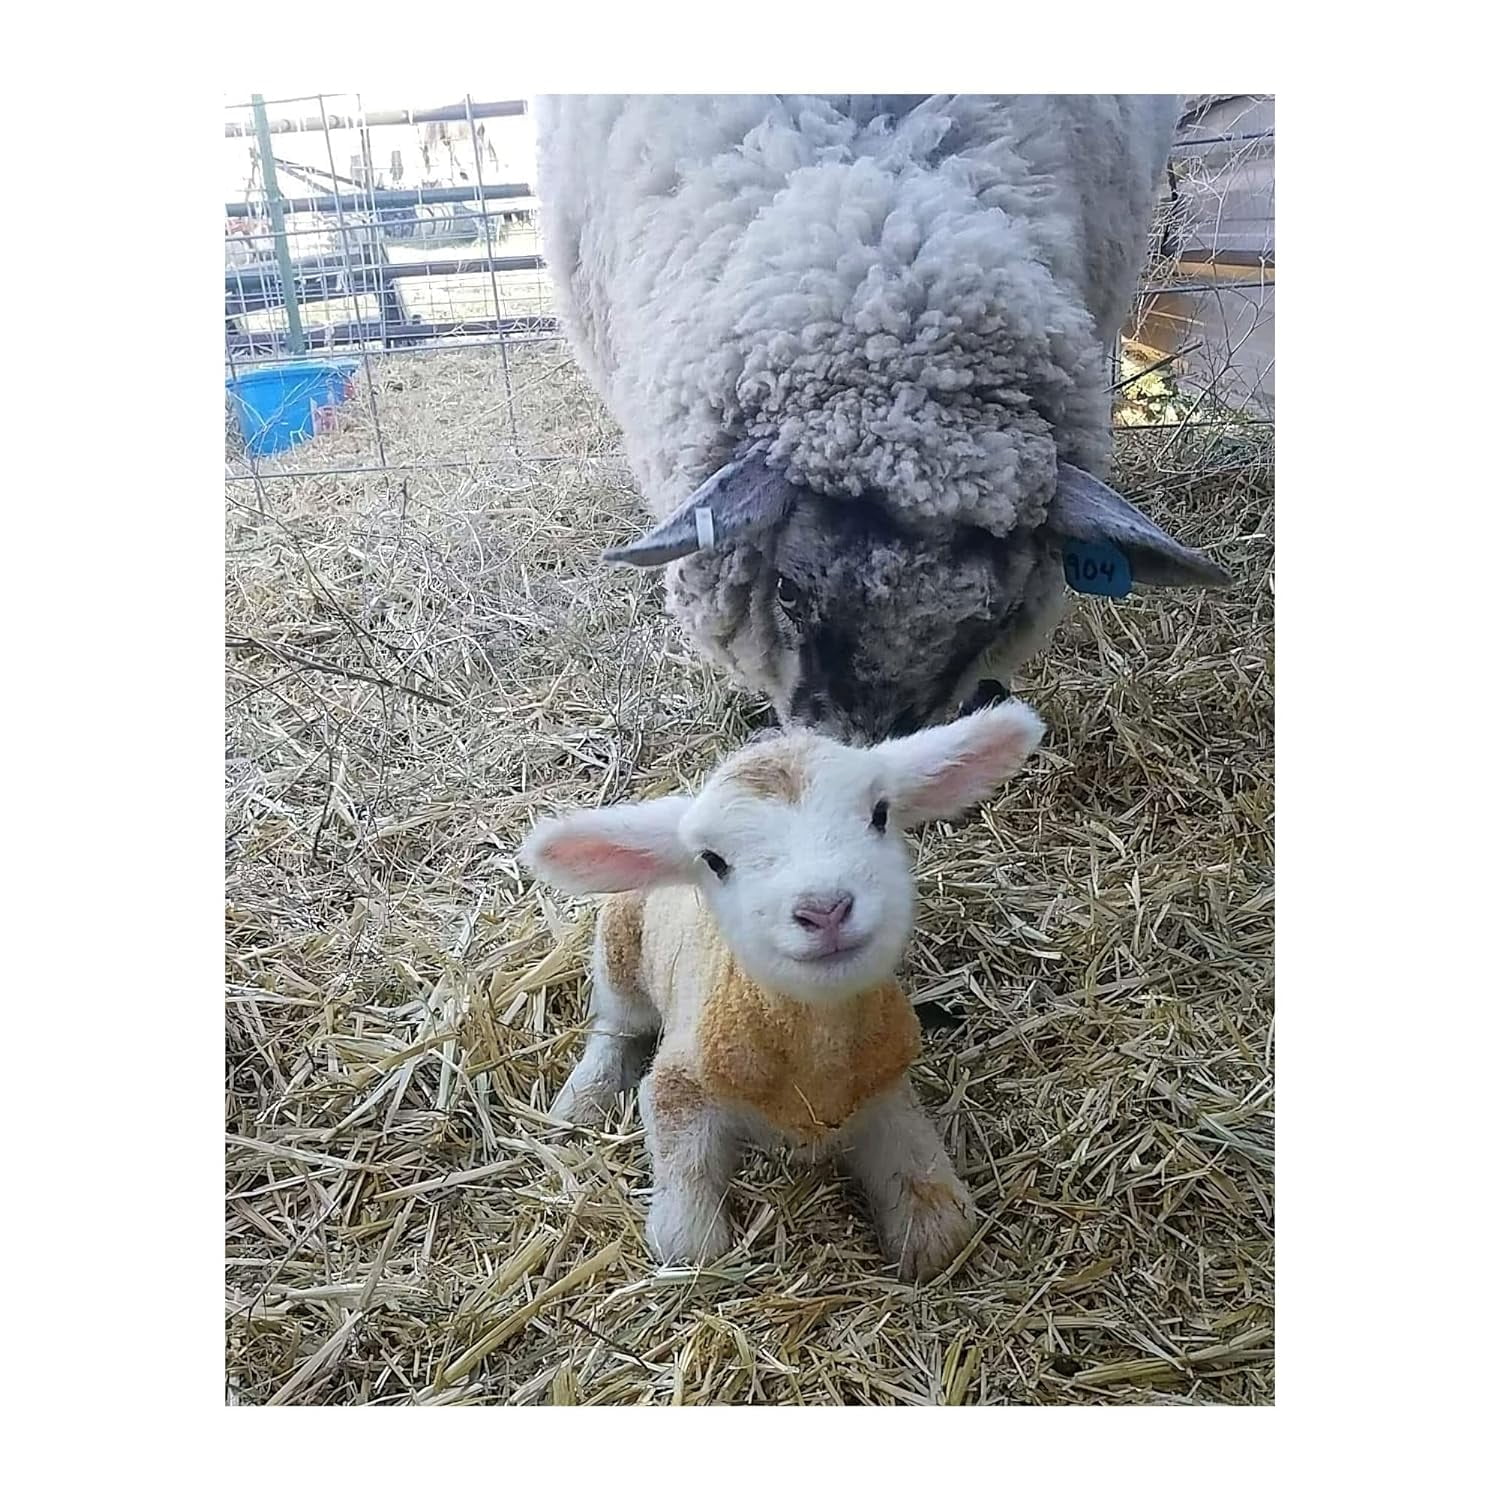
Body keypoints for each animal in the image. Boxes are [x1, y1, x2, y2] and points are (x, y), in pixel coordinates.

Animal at [520, 698, 1045, 1282]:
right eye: (714, 860)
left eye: (880, 813)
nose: (825, 909)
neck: (815, 1058)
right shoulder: (680, 1083)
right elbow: (688, 1238)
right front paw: (692, 1237)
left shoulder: (884, 1085)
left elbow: (936, 1210)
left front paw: (926, 1229)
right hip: (619, 948)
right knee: (616, 1025)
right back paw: (583, 1098)